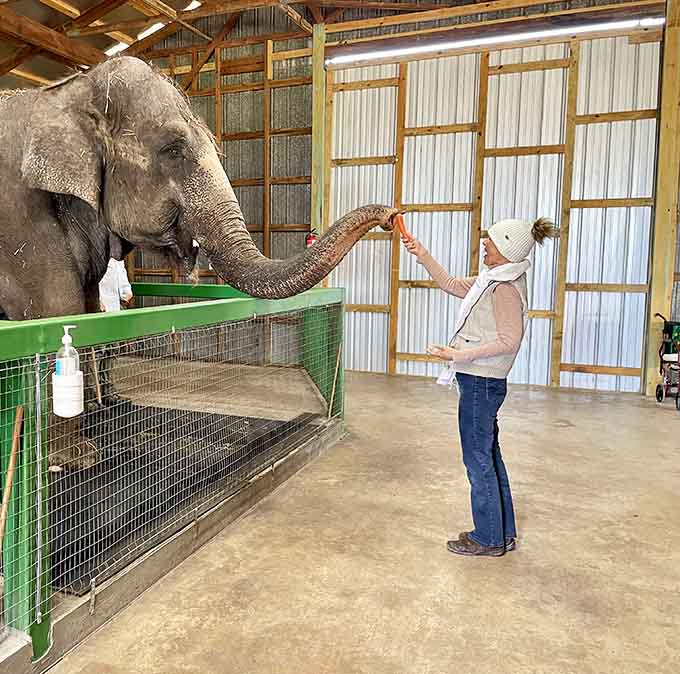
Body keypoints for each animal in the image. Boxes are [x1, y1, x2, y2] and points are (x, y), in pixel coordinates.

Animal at [0, 55, 398, 467]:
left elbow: (89, 310)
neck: (68, 91)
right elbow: (56, 312)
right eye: (174, 150)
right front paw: (78, 459)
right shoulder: (19, 218)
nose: (391, 215)